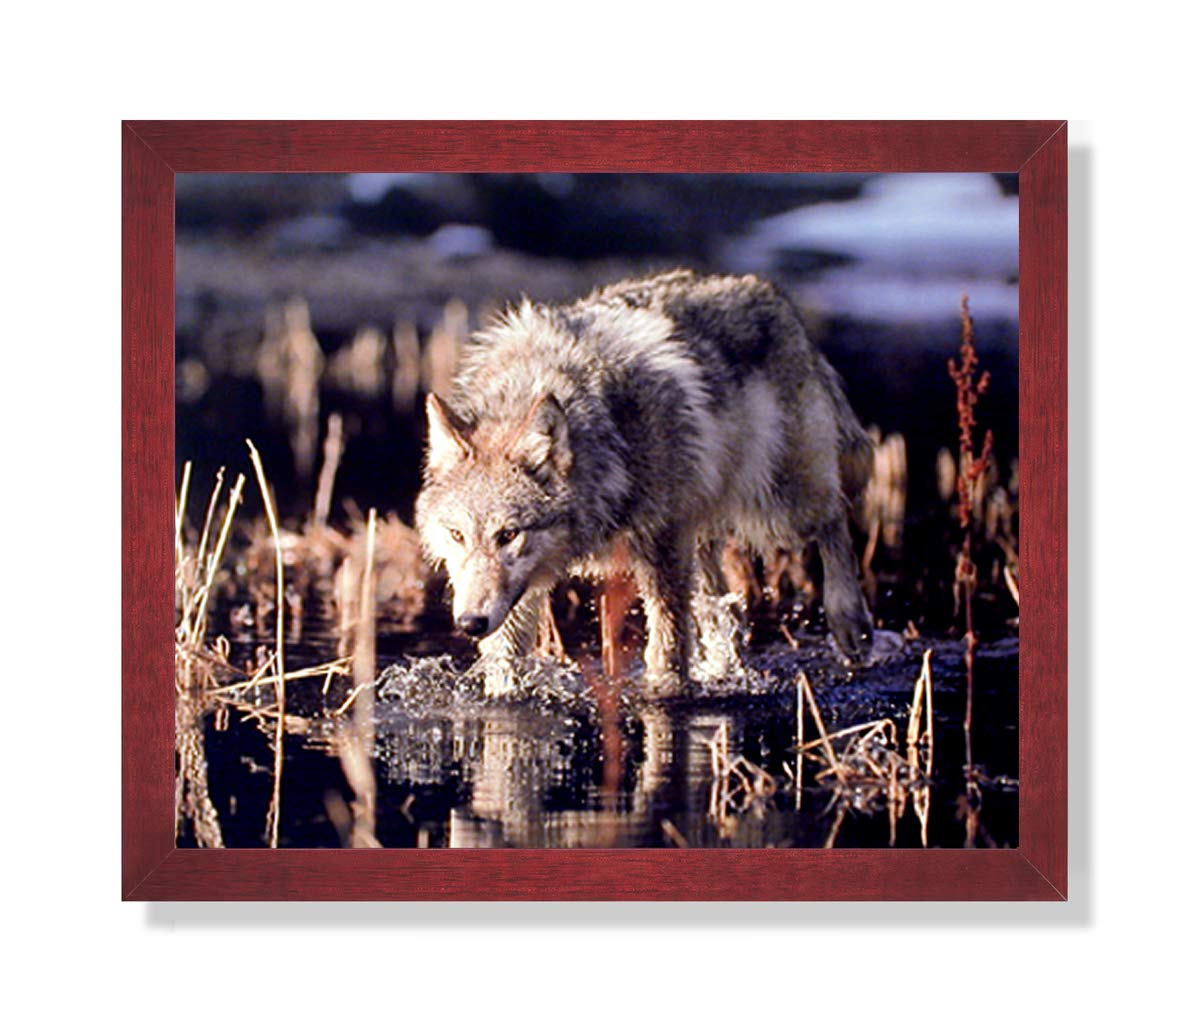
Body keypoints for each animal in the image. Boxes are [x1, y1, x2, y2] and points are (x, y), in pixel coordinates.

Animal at [415, 270, 875, 695]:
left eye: (508, 534)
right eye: (456, 535)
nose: (469, 622)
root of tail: (772, 293)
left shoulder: (662, 541)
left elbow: (666, 647)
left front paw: (667, 690)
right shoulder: (525, 591)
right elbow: (504, 660)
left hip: (778, 508)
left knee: (835, 519)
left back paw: (850, 623)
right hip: (706, 531)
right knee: (722, 609)